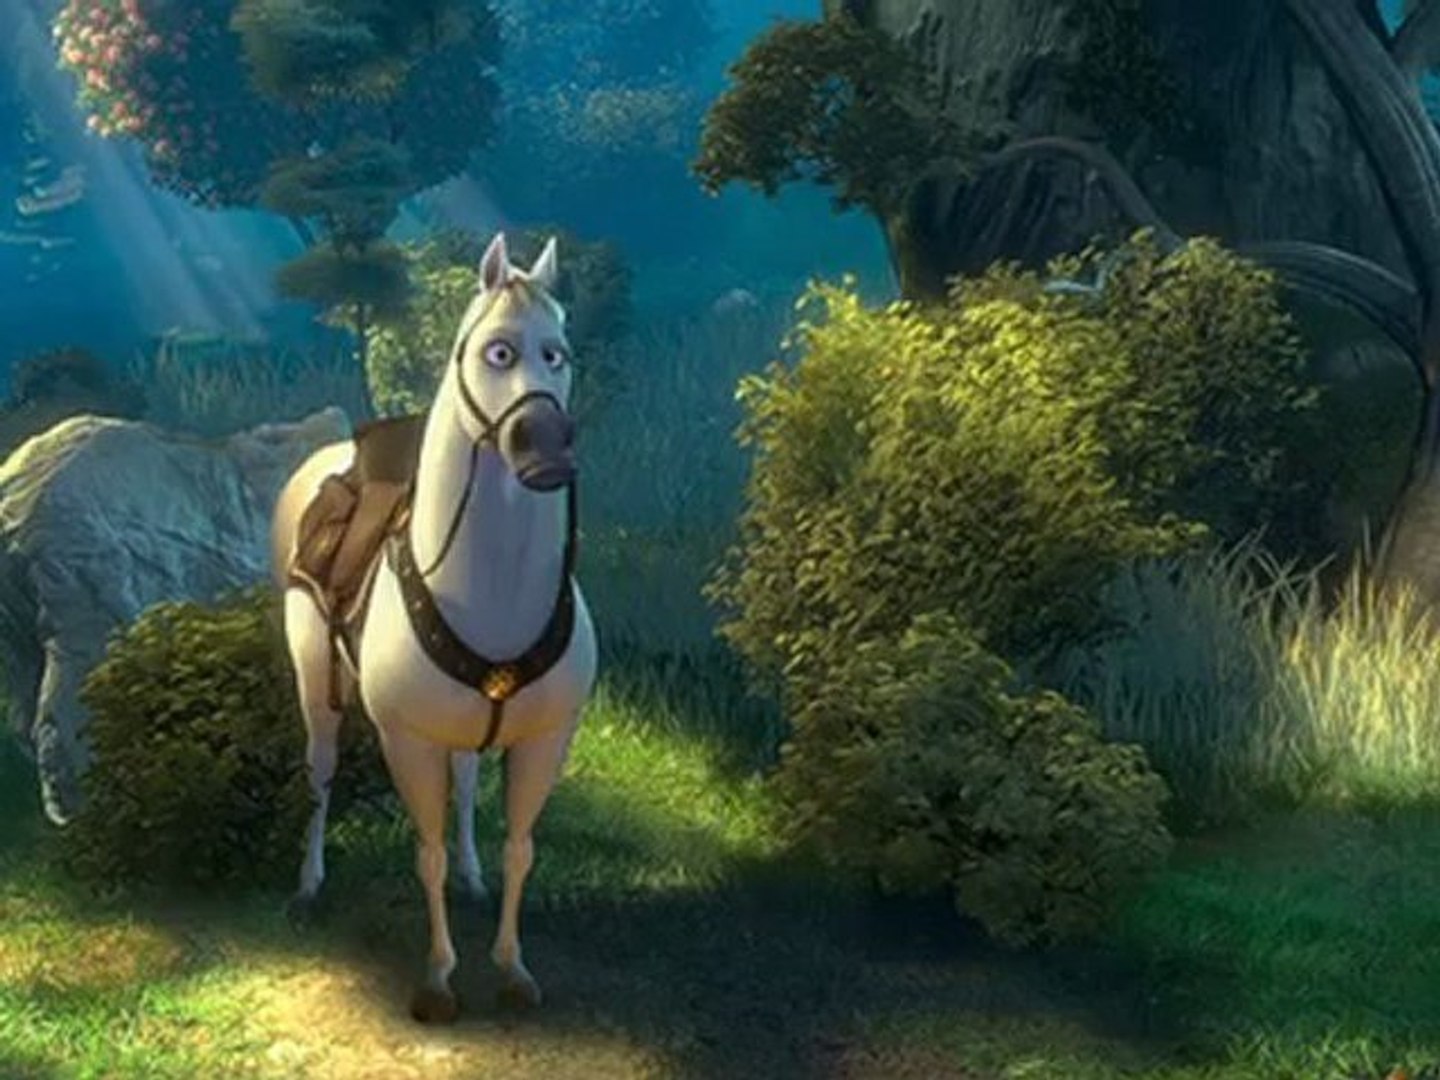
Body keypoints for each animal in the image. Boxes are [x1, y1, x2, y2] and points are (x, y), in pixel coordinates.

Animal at [269, 231, 599, 1022]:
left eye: (559, 353)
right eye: (498, 352)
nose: (547, 449)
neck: (492, 590)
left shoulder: (546, 738)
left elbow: (519, 846)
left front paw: (512, 966)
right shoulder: (406, 739)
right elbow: (426, 851)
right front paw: (439, 978)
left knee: (469, 774)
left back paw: (473, 880)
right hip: (314, 677)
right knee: (320, 766)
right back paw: (309, 885)